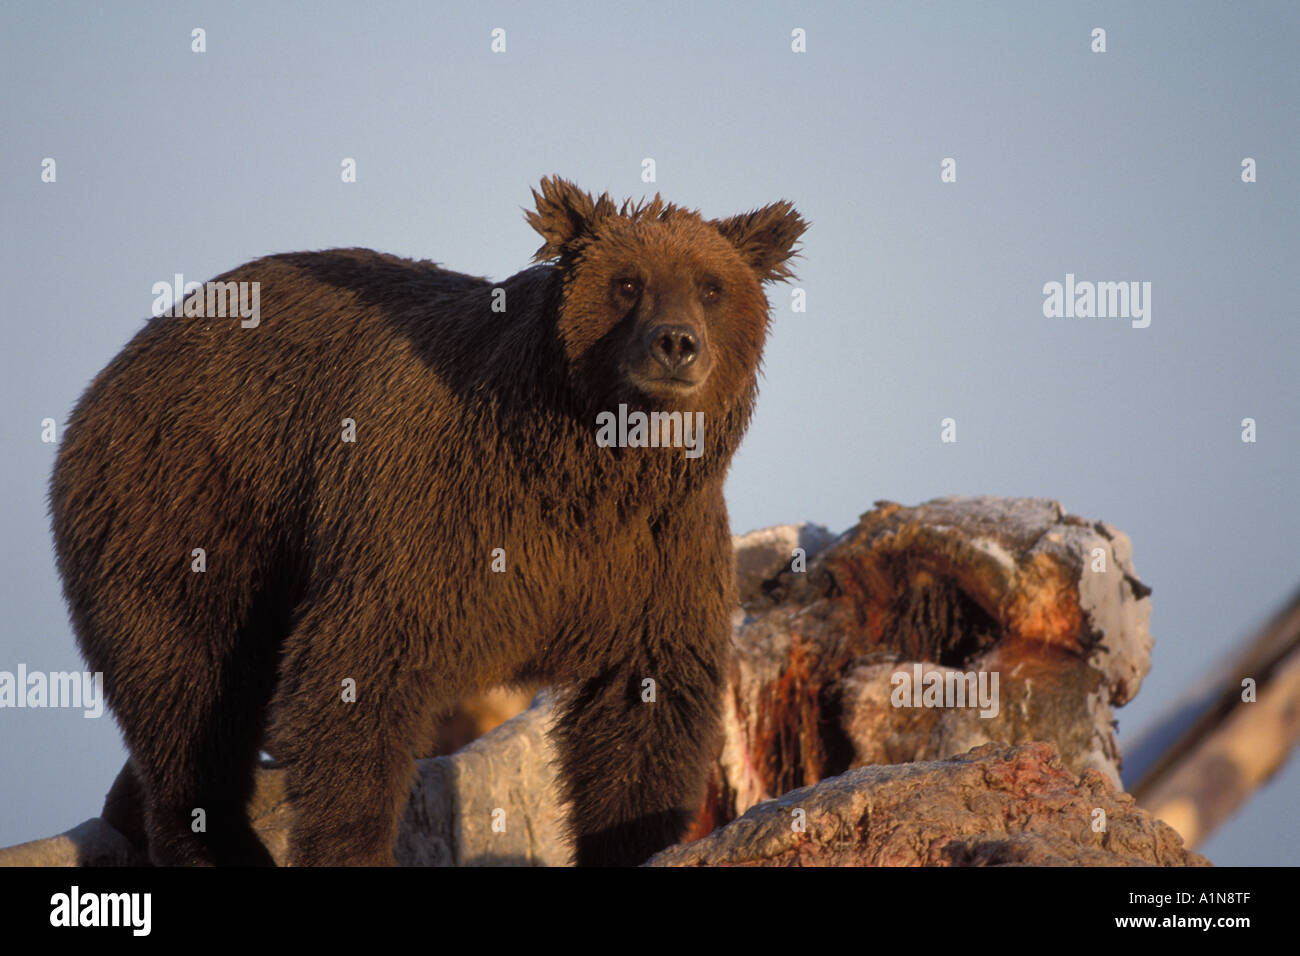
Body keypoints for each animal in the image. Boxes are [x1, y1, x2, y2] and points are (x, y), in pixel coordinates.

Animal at [49, 176, 807, 866]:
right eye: (627, 283)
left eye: (711, 286)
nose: (675, 343)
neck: (588, 471)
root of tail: (129, 355)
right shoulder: (435, 518)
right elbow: (355, 678)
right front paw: (352, 847)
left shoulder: (654, 552)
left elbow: (645, 706)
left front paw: (633, 841)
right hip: (189, 500)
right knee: (188, 679)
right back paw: (209, 839)